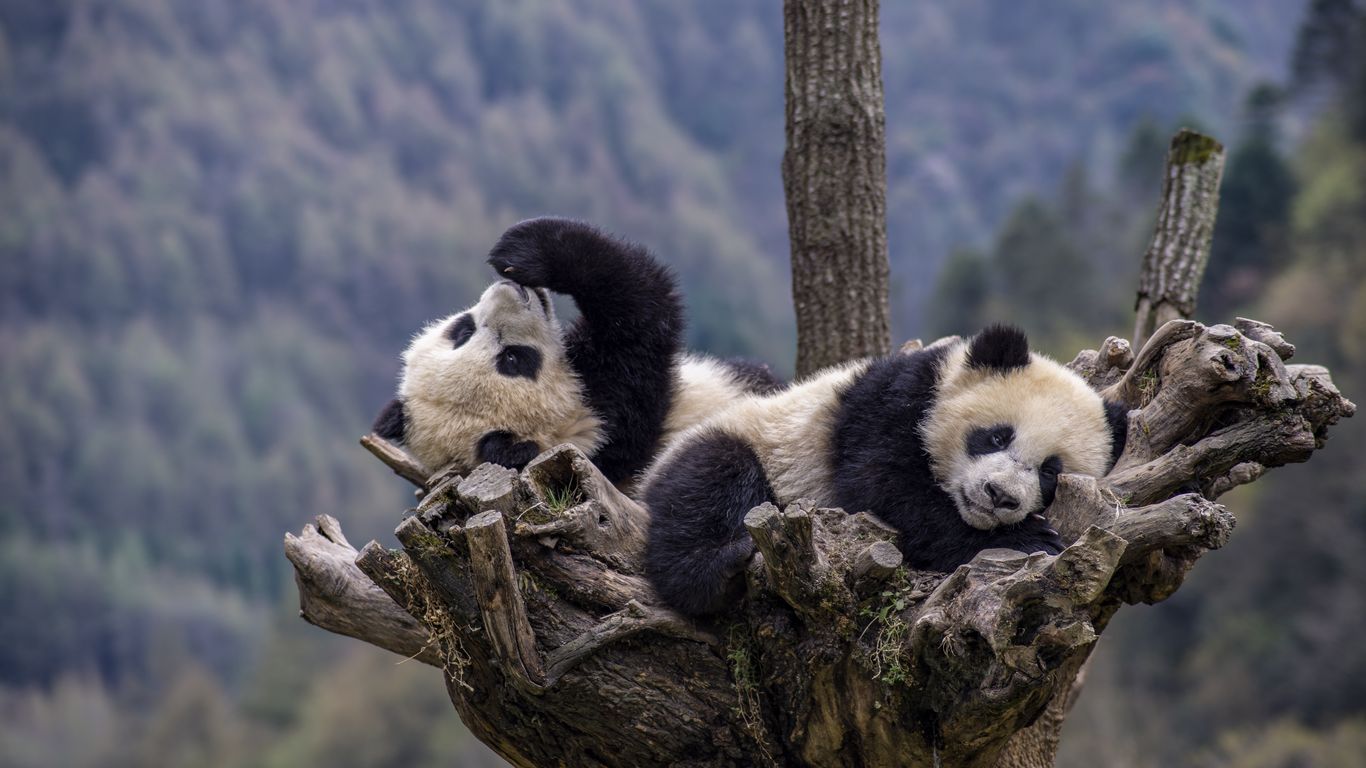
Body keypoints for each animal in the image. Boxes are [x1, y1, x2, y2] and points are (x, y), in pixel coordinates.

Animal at [371, 217, 782, 487]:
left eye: (461, 332)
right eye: (513, 360)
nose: (509, 293)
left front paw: (518, 253)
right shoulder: (619, 408)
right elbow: (638, 308)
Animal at [642, 324, 1129, 616]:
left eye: (1049, 472)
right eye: (996, 437)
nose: (999, 496)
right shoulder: (888, 405)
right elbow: (882, 487)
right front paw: (1030, 538)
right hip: (751, 442)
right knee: (709, 483)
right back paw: (715, 568)